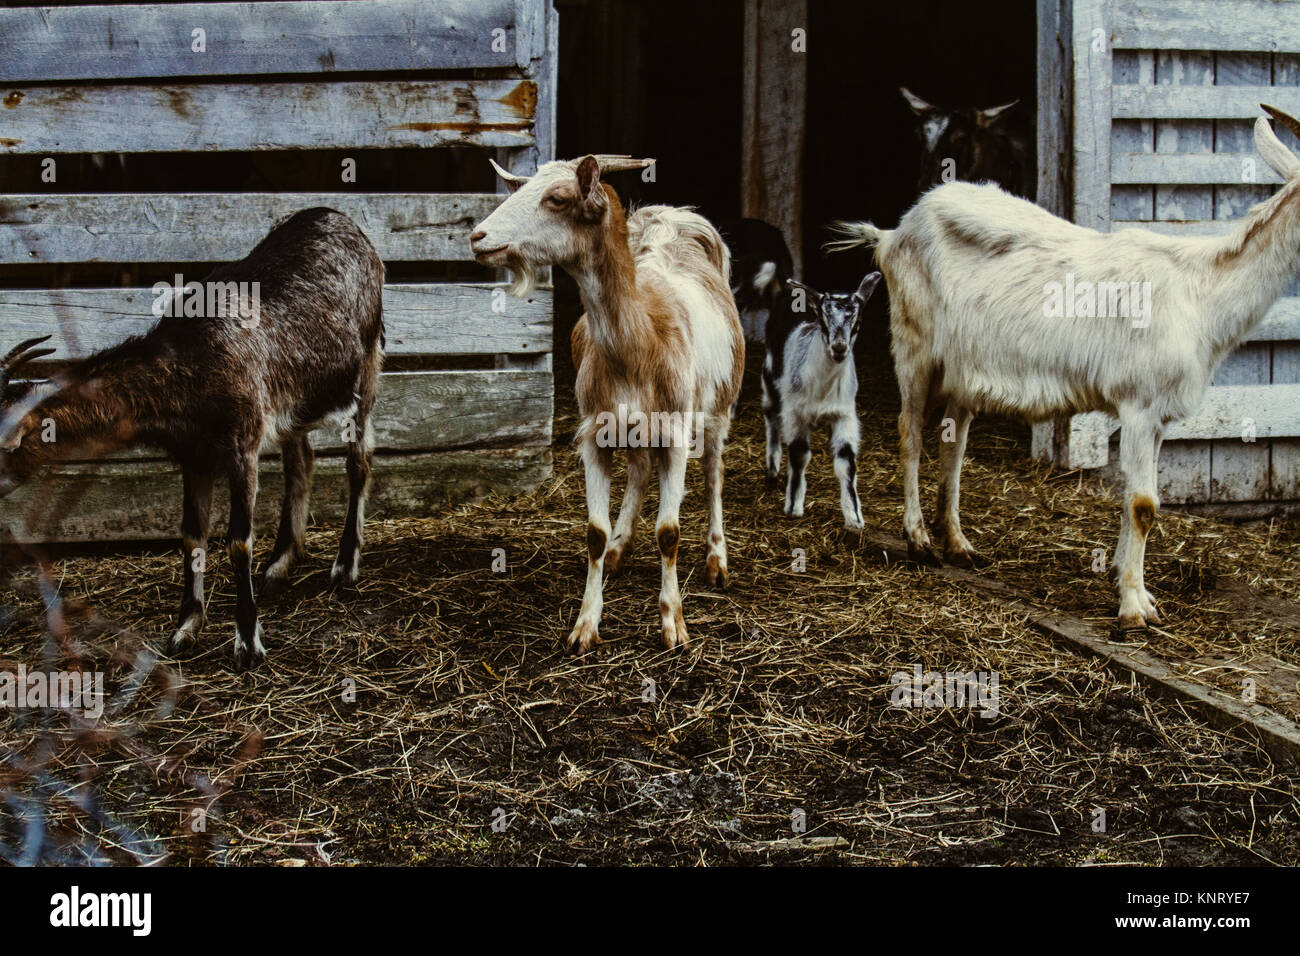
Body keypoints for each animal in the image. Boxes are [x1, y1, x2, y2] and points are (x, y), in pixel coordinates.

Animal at [0, 208, 385, 668]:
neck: (190, 364)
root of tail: (343, 221)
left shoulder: (241, 443)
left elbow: (238, 540)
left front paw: (247, 642)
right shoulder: (194, 455)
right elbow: (191, 535)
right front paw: (186, 628)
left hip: (367, 360)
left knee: (358, 459)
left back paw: (344, 567)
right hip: (296, 398)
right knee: (301, 459)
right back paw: (279, 566)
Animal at [470, 155, 743, 652]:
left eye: (557, 198)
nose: (478, 237)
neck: (639, 341)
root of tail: (673, 220)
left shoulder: (676, 433)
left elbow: (669, 532)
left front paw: (674, 625)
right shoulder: (594, 433)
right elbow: (593, 534)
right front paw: (585, 625)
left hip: (720, 407)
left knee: (714, 473)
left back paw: (717, 559)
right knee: (639, 469)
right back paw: (621, 545)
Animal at [761, 272, 882, 534]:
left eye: (858, 322)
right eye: (824, 322)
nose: (839, 348)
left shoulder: (845, 415)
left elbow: (846, 462)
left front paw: (855, 518)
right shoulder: (795, 414)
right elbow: (799, 455)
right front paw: (793, 506)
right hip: (769, 376)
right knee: (771, 418)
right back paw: (772, 467)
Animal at [828, 105, 1300, 631]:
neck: (1201, 293)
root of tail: (894, 233)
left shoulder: (1157, 417)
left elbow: (1138, 500)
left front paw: (1133, 588)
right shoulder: (1139, 404)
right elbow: (1143, 505)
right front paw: (1133, 609)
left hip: (965, 367)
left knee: (954, 440)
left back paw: (958, 543)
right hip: (915, 343)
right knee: (908, 430)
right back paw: (919, 540)